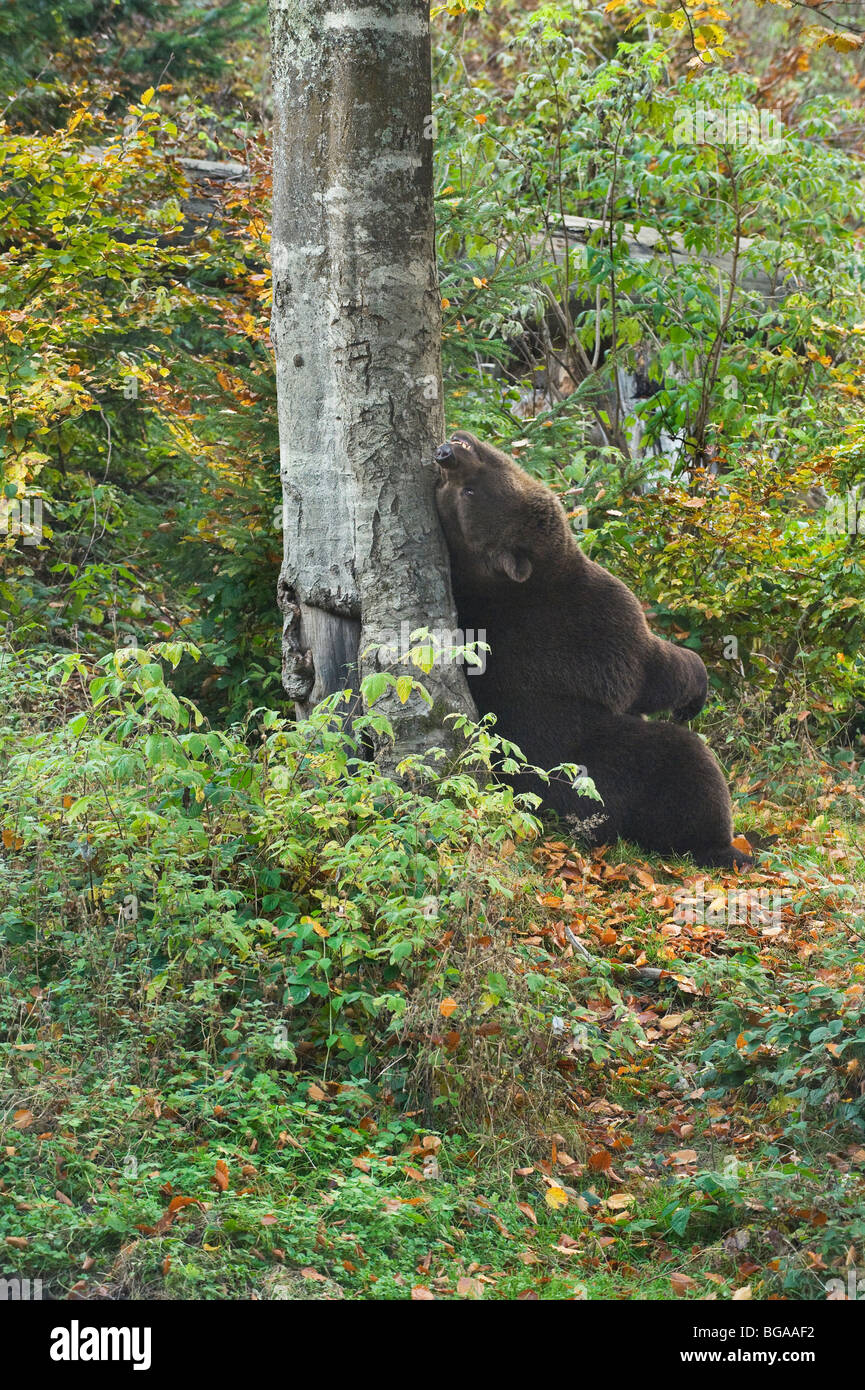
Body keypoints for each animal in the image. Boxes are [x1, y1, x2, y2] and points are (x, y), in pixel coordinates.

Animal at [435, 430, 751, 871]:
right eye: (467, 492)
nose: (448, 450)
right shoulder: (597, 625)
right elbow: (651, 669)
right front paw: (693, 693)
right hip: (608, 771)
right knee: (686, 761)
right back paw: (726, 846)